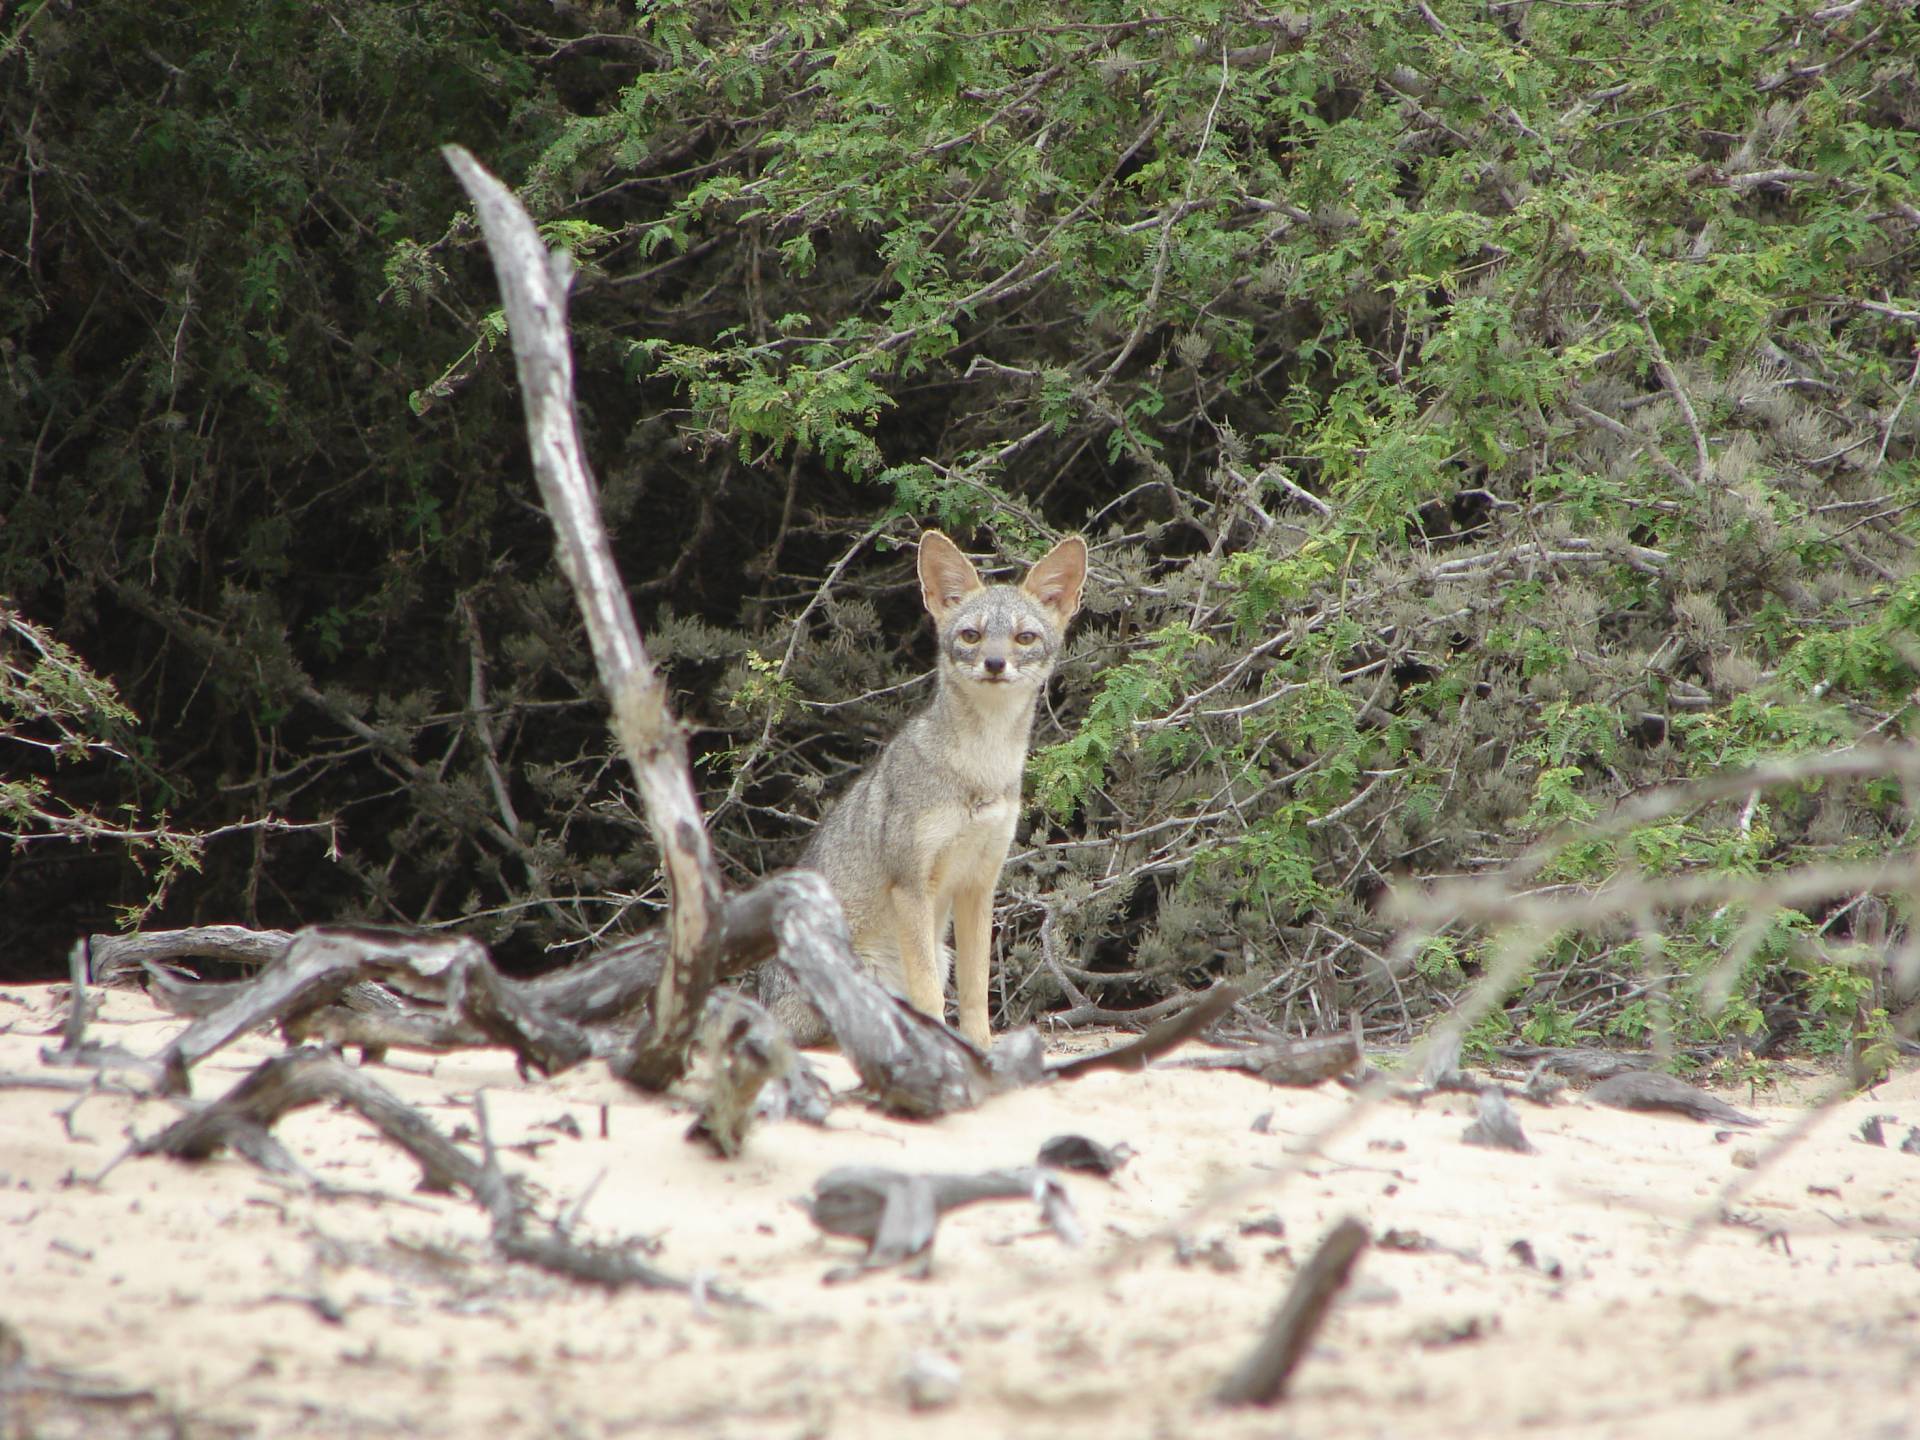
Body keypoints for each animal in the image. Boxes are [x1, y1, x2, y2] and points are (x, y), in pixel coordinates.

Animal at [763, 530, 1088, 1049]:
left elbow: (976, 992)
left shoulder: (979, 884)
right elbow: (930, 996)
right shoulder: (912, 885)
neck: (979, 768)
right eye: (972, 635)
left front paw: (981, 1048)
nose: (995, 663)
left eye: (1025, 637)